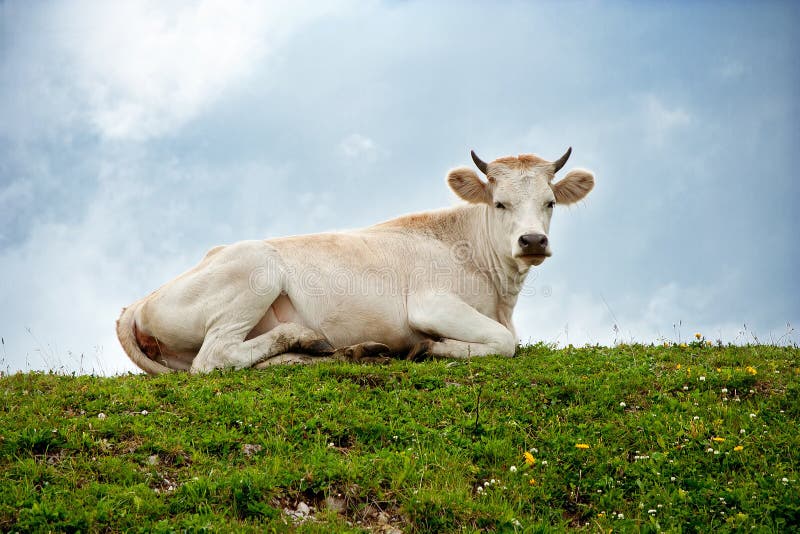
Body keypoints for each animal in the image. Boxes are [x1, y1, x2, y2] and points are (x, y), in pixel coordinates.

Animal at [117, 148, 594, 374]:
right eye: (499, 203)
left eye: (550, 202)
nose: (532, 241)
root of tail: (137, 304)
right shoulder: (431, 303)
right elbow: (504, 342)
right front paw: (429, 347)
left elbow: (508, 338)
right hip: (256, 267)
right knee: (214, 358)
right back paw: (307, 336)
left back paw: (343, 351)